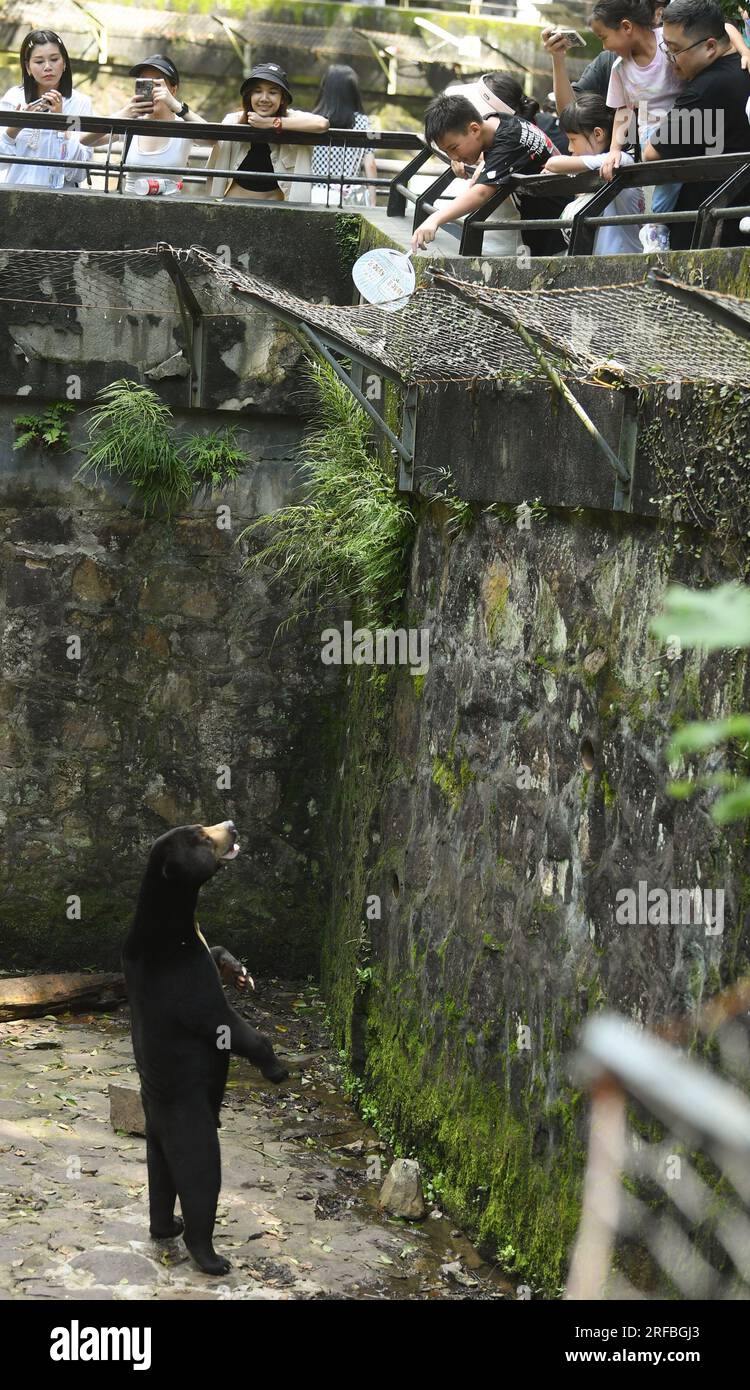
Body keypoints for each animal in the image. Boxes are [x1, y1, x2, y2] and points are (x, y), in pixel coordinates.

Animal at [122, 819, 289, 1275]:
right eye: (200, 836)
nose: (230, 825)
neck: (174, 919)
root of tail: (158, 1118)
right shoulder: (180, 975)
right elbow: (221, 1022)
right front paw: (276, 1067)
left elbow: (215, 950)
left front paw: (240, 972)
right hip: (190, 1122)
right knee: (201, 1180)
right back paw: (211, 1257)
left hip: (156, 1139)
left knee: (160, 1181)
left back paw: (166, 1226)